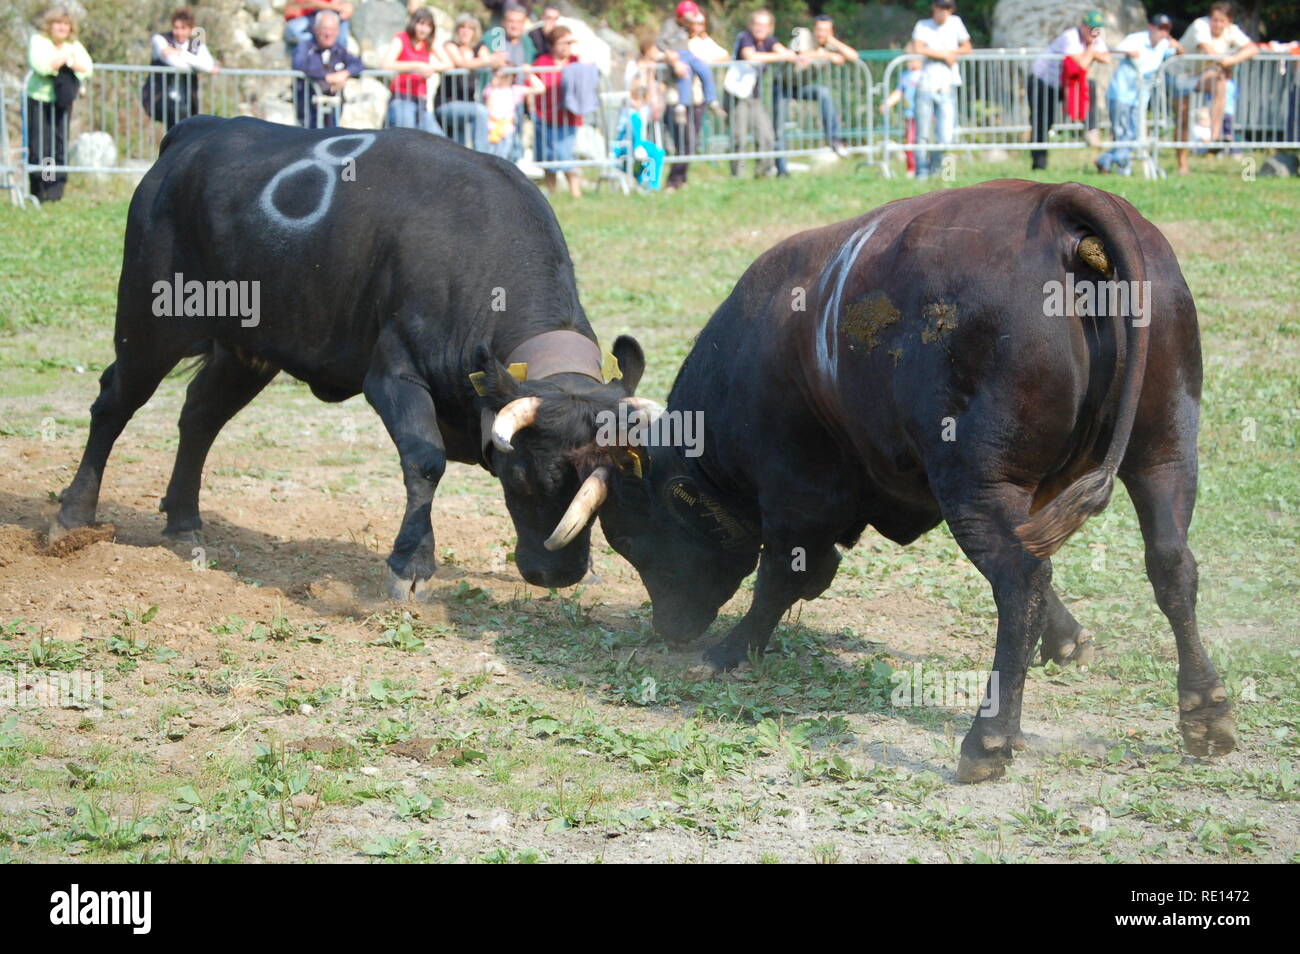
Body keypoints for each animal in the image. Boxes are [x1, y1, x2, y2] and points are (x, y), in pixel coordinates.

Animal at [51, 116, 649, 597]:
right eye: (521, 477)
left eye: (604, 496)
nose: (558, 576)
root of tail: (200, 129)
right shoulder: (392, 373)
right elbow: (426, 460)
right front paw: (410, 566)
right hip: (149, 320)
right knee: (114, 403)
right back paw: (73, 516)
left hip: (248, 349)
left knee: (199, 416)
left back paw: (183, 522)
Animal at [543, 179, 1236, 783]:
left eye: (632, 538)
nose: (670, 628)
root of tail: (1061, 203)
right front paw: (1069, 641)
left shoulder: (799, 493)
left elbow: (781, 576)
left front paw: (731, 650)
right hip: (1164, 452)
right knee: (1169, 564)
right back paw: (1205, 711)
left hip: (979, 480)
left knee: (1022, 581)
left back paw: (988, 739)